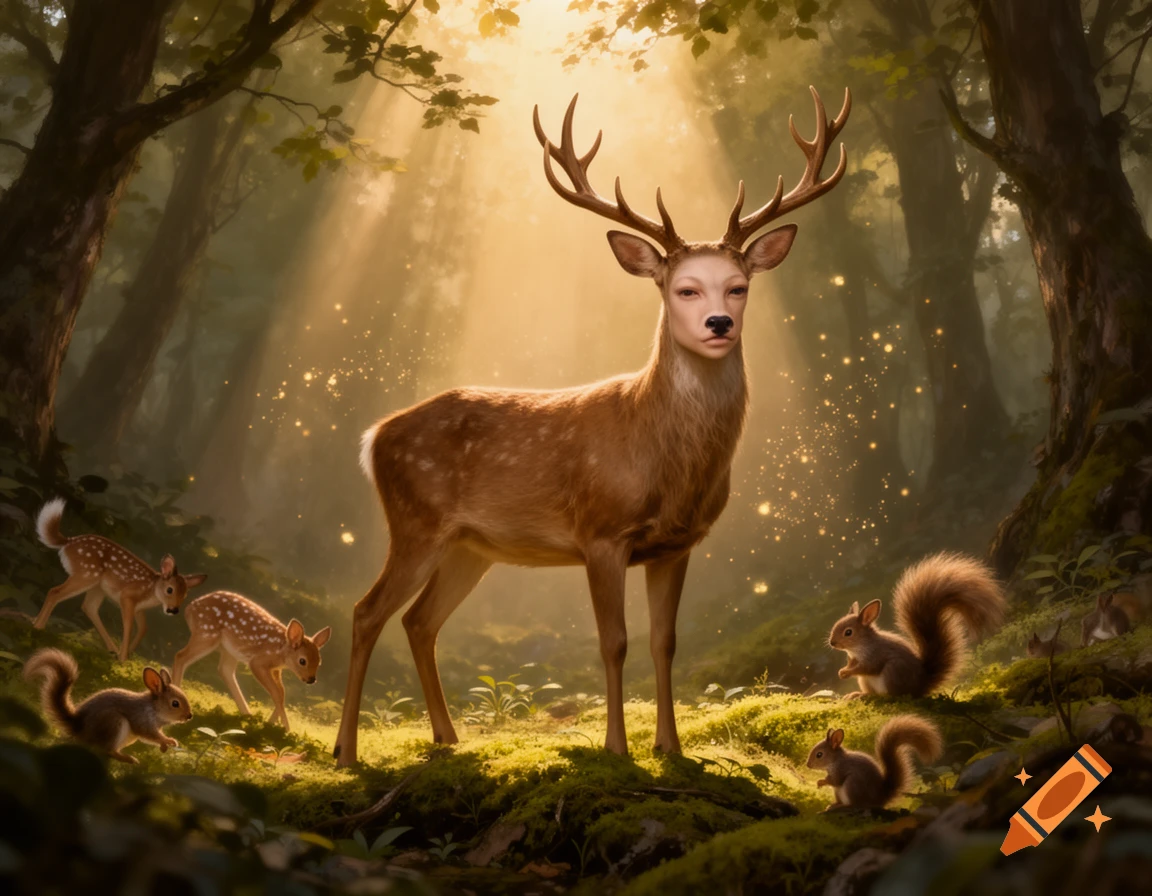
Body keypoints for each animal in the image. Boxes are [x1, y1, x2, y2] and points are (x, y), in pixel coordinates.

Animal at [32, 498, 207, 661]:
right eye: (169, 589)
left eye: (185, 595)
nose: (173, 610)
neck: (150, 590)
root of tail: (67, 542)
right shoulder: (127, 596)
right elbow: (128, 625)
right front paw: (123, 658)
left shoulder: (139, 608)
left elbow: (143, 628)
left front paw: (128, 653)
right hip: (86, 574)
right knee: (55, 591)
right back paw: (39, 626)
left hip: (97, 587)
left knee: (88, 607)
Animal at [171, 590, 331, 731]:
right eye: (302, 661)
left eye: (319, 662)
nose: (311, 679)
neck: (279, 651)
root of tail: (189, 608)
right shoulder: (258, 662)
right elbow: (276, 693)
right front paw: (284, 729)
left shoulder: (275, 669)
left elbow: (282, 694)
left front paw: (271, 724)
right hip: (206, 633)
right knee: (180, 656)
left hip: (229, 649)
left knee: (225, 671)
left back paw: (247, 715)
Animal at [332, 86, 851, 767]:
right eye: (684, 288)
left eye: (738, 287)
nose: (718, 323)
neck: (665, 459)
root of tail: (374, 438)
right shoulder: (601, 531)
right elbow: (615, 641)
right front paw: (616, 748)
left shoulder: (677, 543)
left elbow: (665, 641)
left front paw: (670, 748)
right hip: (415, 519)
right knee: (367, 612)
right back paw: (345, 751)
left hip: (471, 545)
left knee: (420, 620)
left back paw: (447, 737)